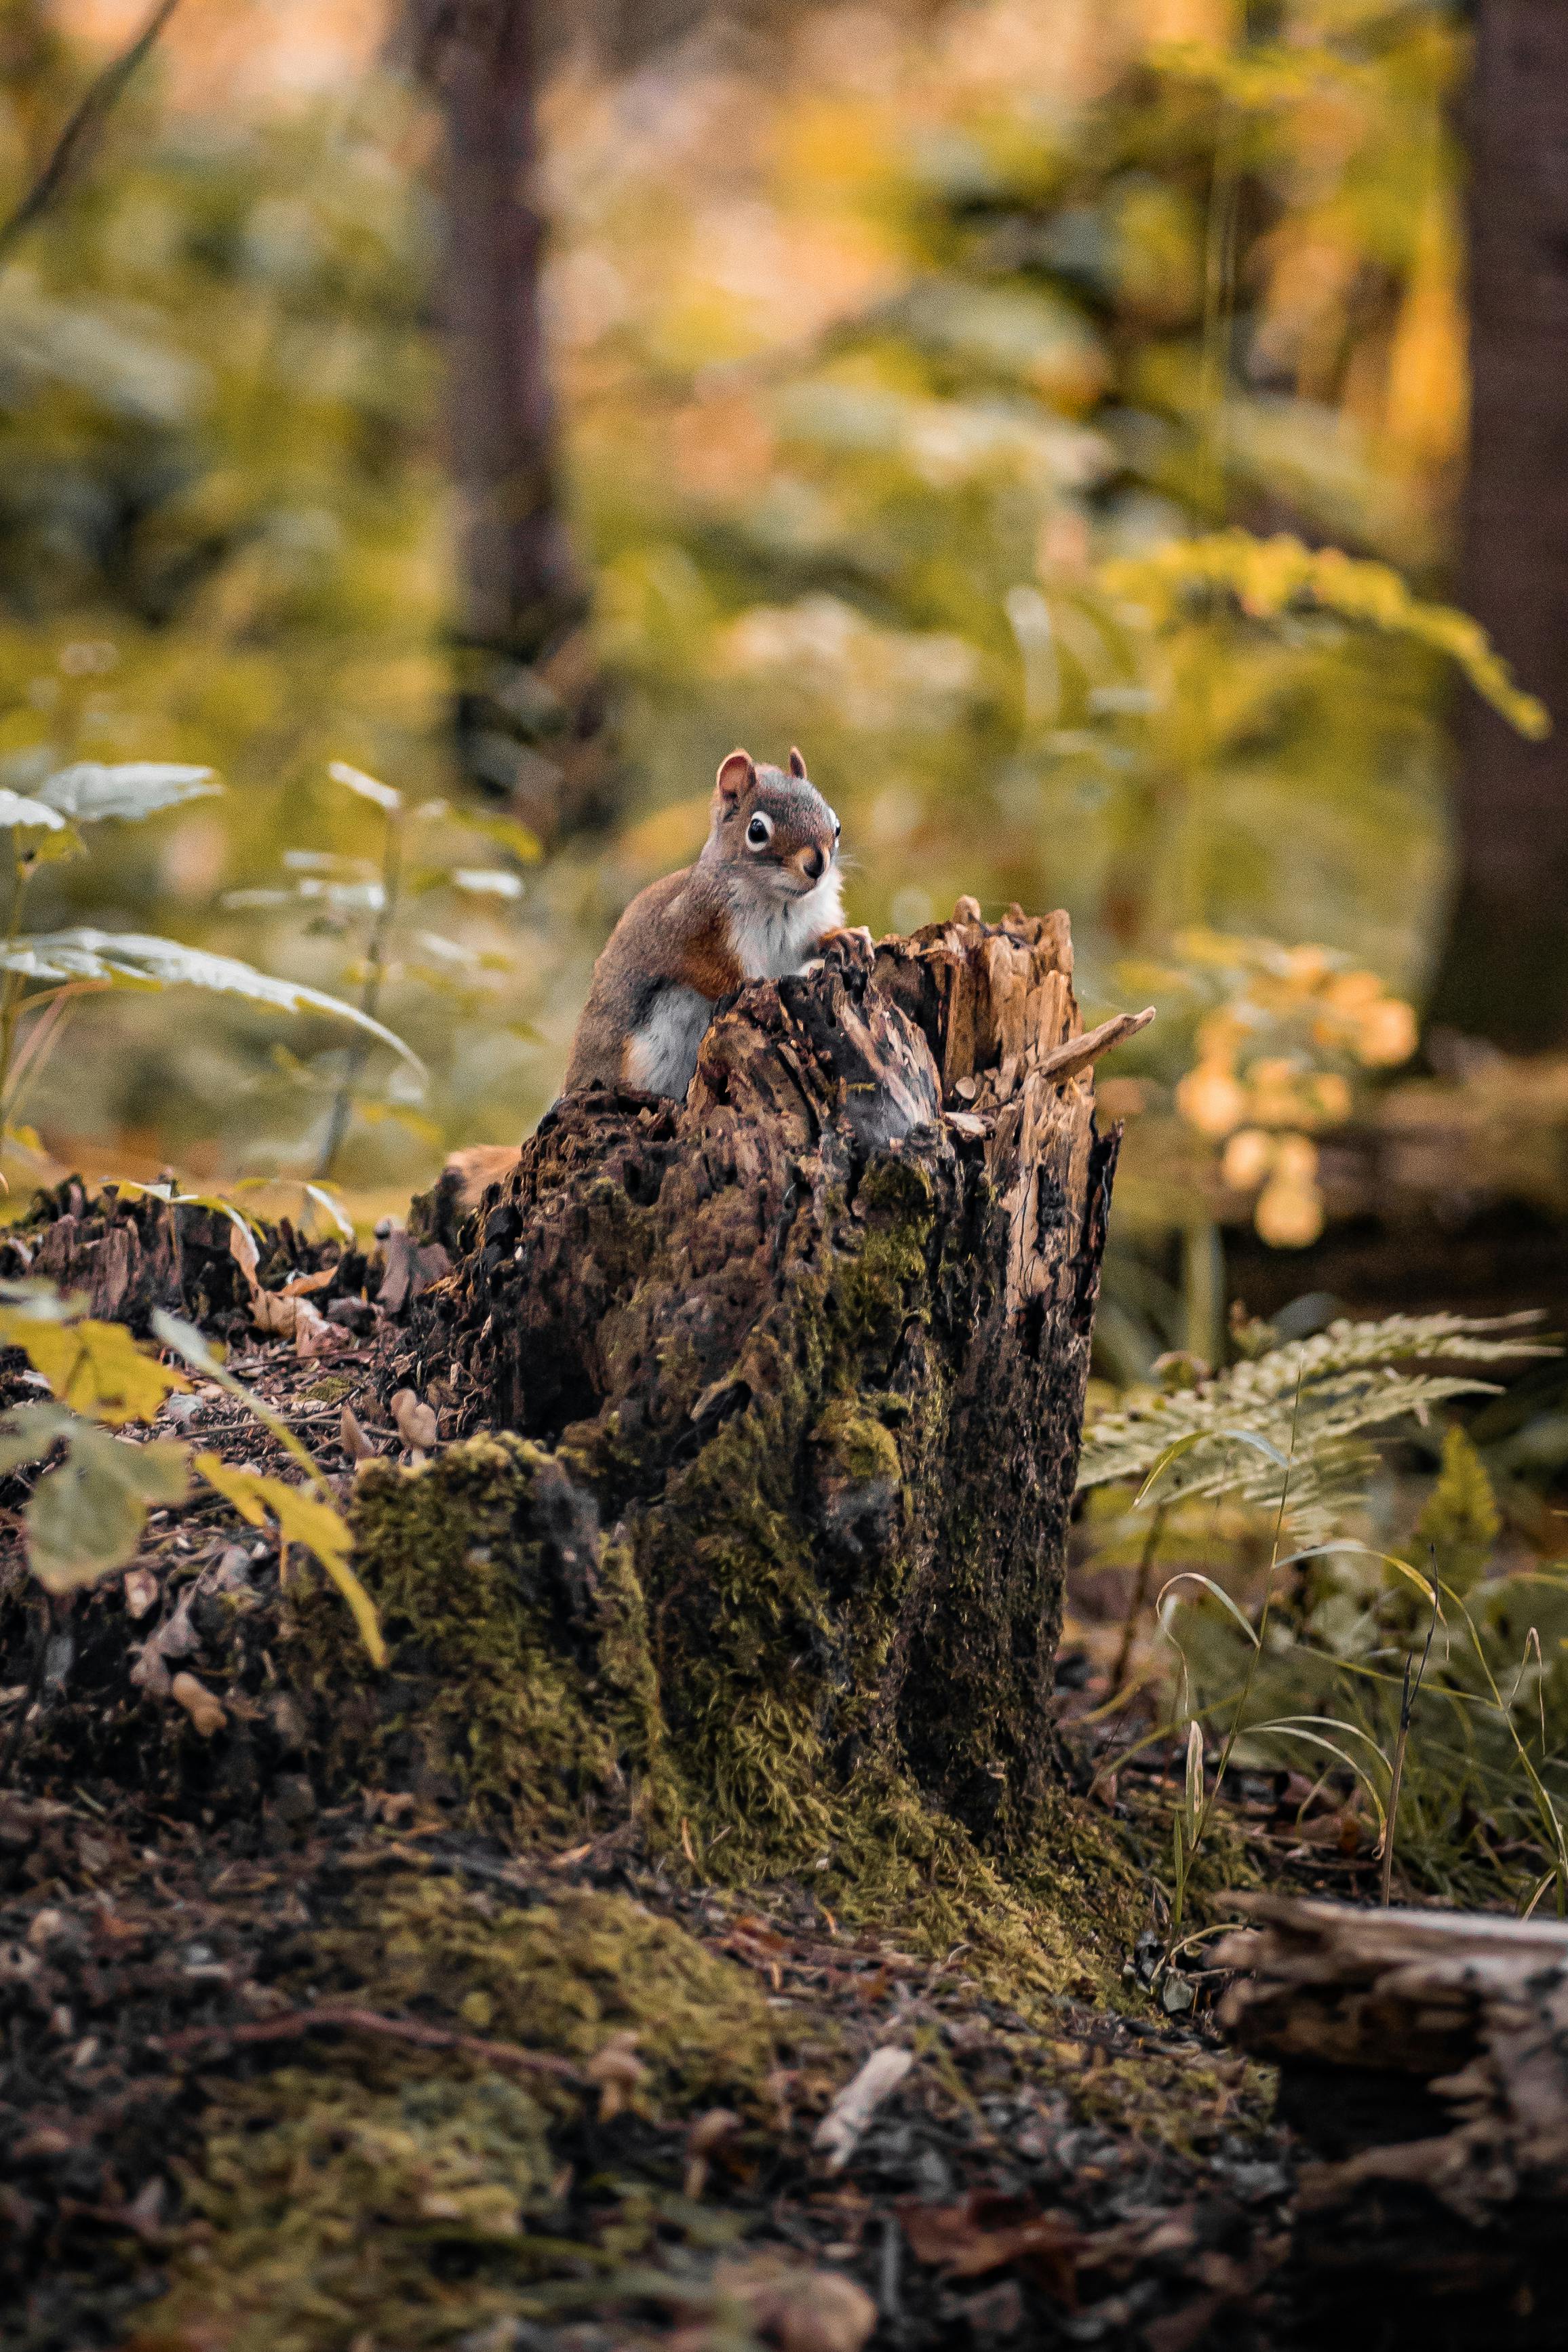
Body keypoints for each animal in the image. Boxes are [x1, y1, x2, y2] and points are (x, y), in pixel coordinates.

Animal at [563, 744, 846, 1099]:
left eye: (836, 825)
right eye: (756, 831)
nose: (816, 865)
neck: (783, 902)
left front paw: (844, 938)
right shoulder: (698, 934)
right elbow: (740, 979)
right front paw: (804, 969)